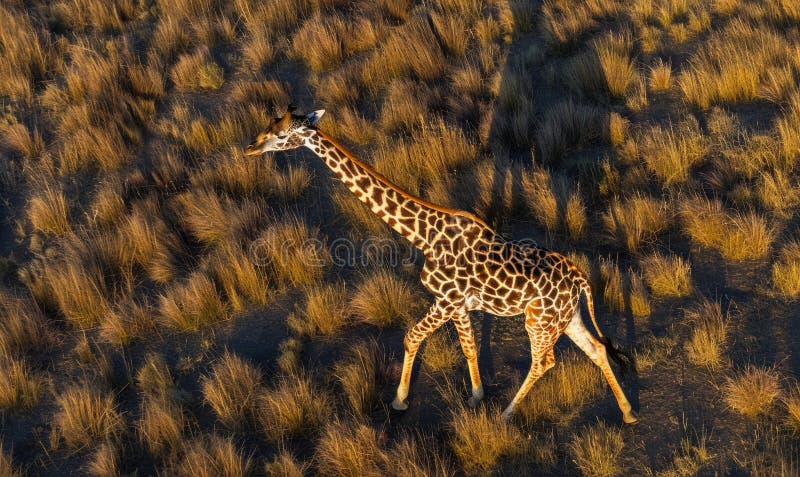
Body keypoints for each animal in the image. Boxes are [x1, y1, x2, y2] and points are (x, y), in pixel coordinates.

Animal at [244, 107, 638, 423]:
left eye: (282, 135)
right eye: (270, 122)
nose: (250, 147)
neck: (425, 235)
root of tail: (580, 279)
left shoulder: (445, 301)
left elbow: (411, 337)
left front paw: (399, 400)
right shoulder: (459, 305)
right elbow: (468, 346)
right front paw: (476, 395)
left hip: (539, 322)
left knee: (545, 362)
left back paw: (507, 413)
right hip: (564, 318)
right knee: (597, 349)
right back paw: (628, 412)